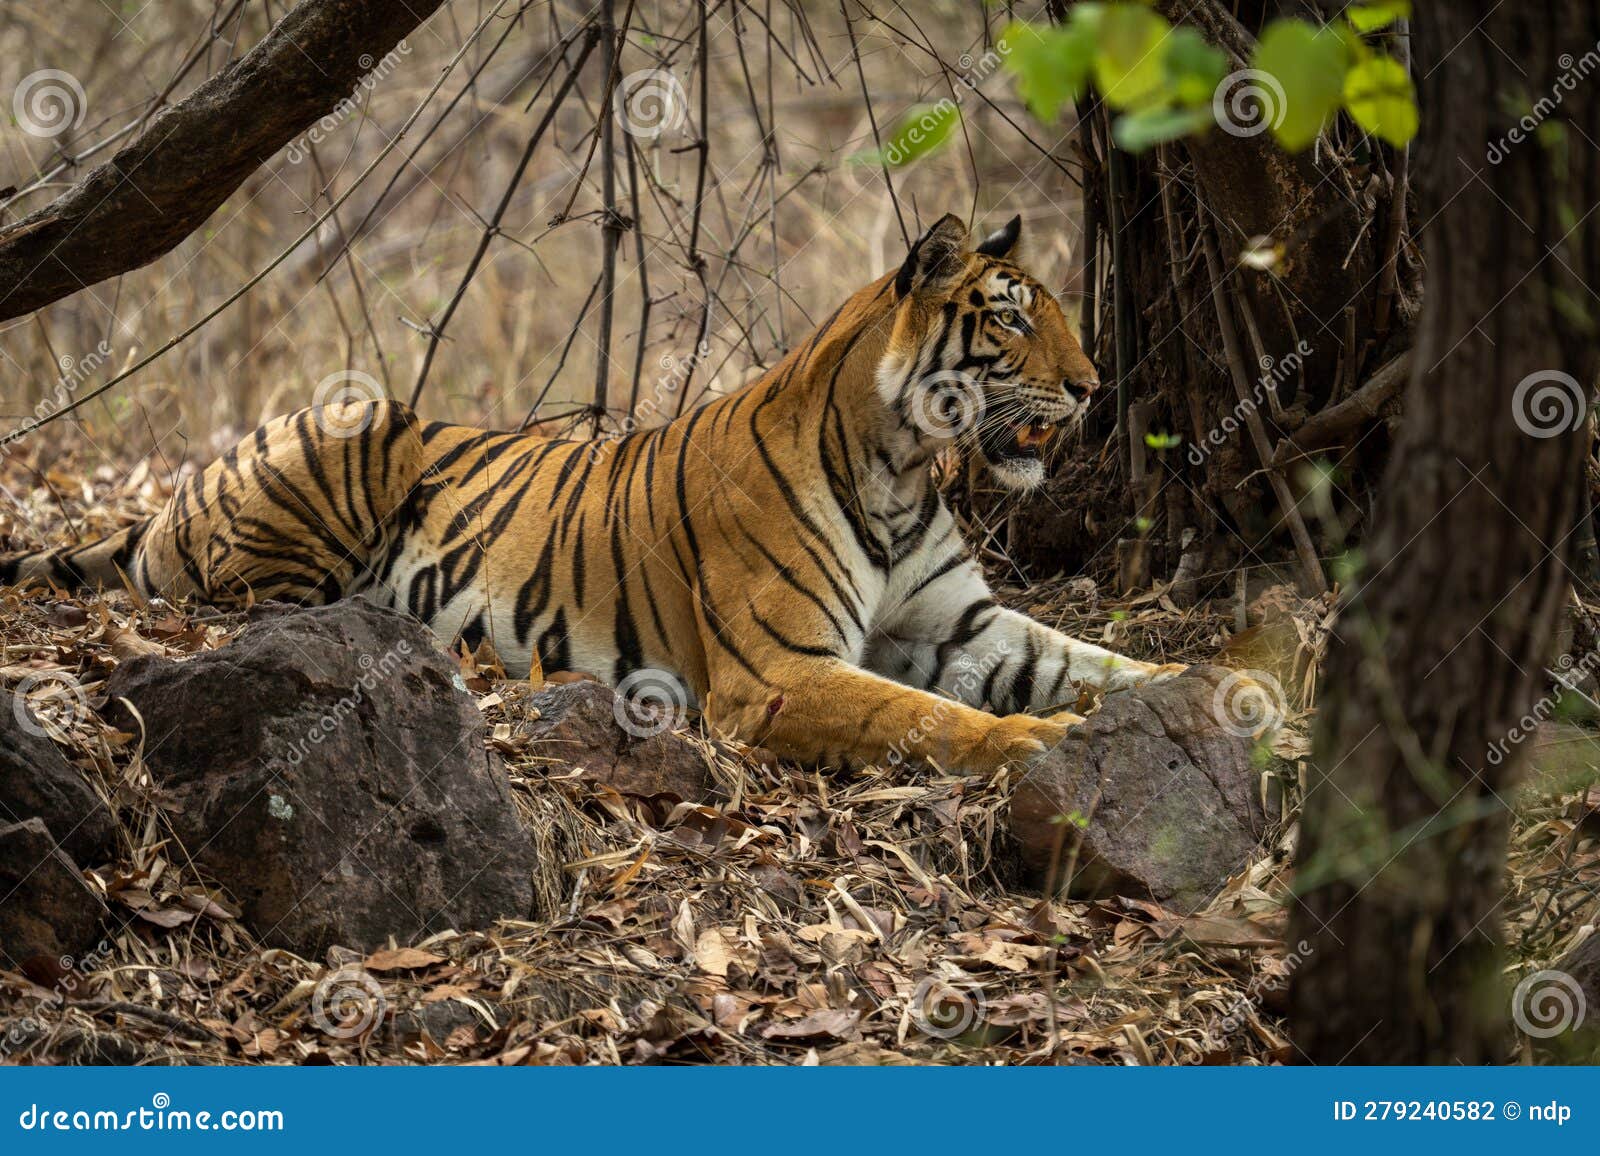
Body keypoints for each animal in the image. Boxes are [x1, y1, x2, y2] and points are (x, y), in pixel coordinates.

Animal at [2, 212, 1184, 772]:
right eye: (1012, 318)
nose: (1093, 386)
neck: (898, 466)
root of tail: (176, 492)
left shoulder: (967, 625)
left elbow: (1091, 661)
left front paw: (1206, 691)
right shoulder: (780, 672)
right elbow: (928, 716)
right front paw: (1032, 746)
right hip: (343, 440)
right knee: (229, 597)